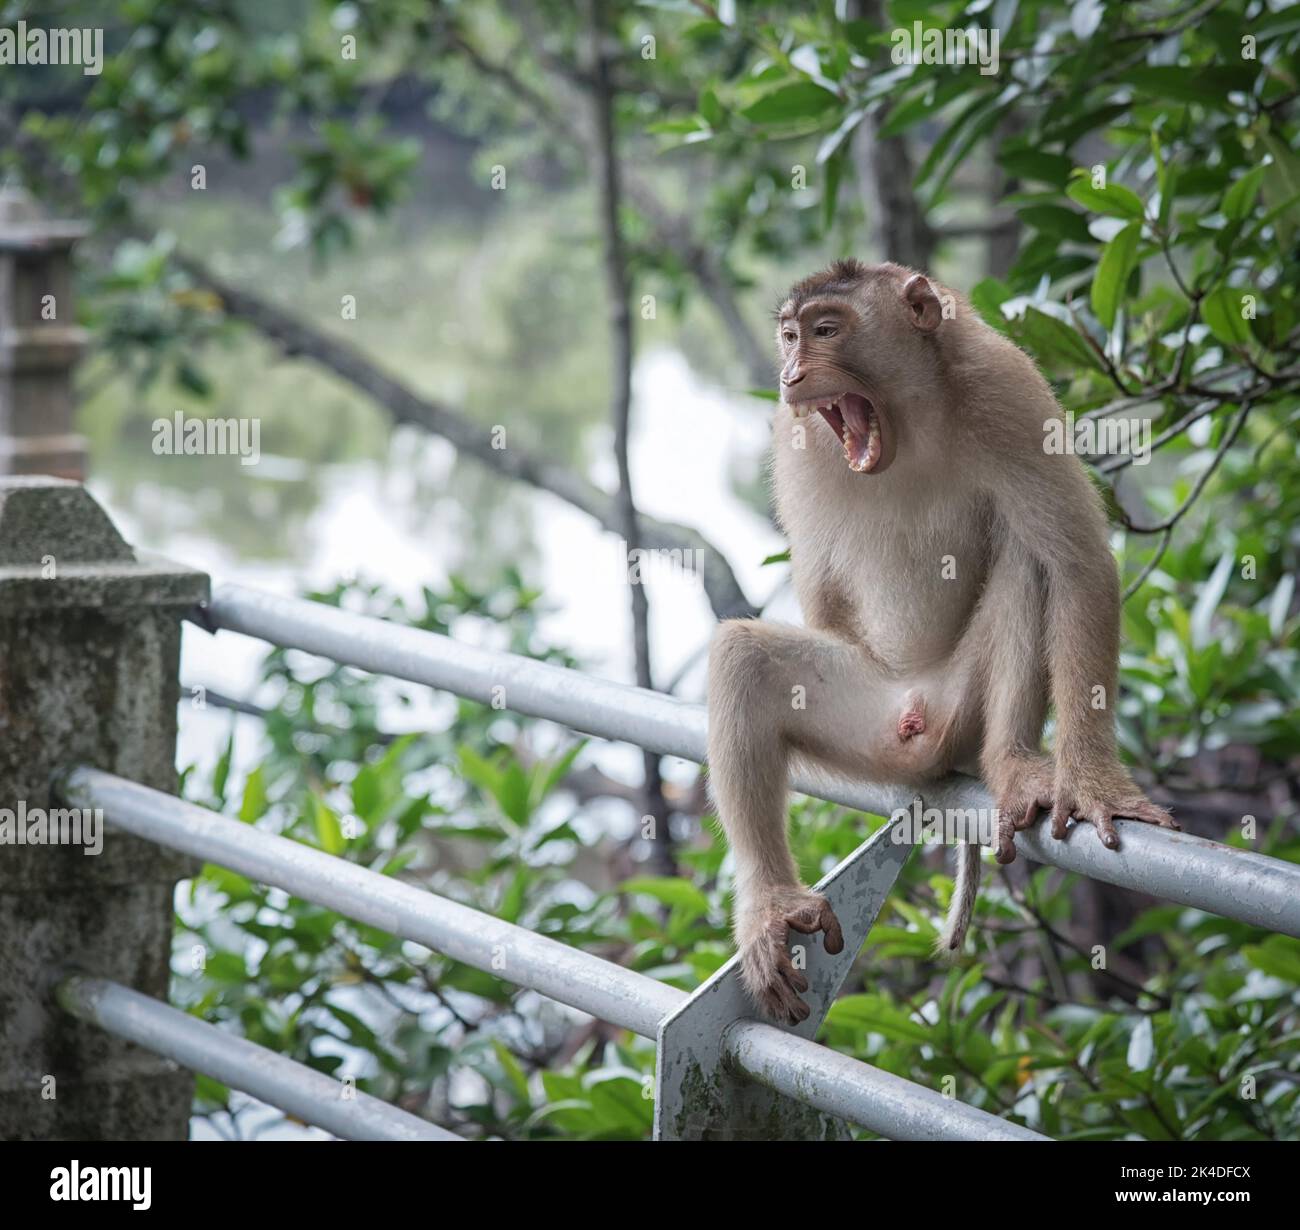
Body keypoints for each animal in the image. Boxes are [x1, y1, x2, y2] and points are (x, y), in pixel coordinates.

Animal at [706, 259, 1178, 1026]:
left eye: (827, 330)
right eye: (789, 336)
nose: (790, 373)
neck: (909, 412)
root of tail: (916, 721)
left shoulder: (1005, 386)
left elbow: (1076, 564)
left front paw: (1093, 783)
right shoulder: (792, 437)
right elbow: (822, 599)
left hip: (957, 710)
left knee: (1027, 557)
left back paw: (1013, 765)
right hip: (869, 721)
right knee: (743, 659)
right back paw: (773, 907)